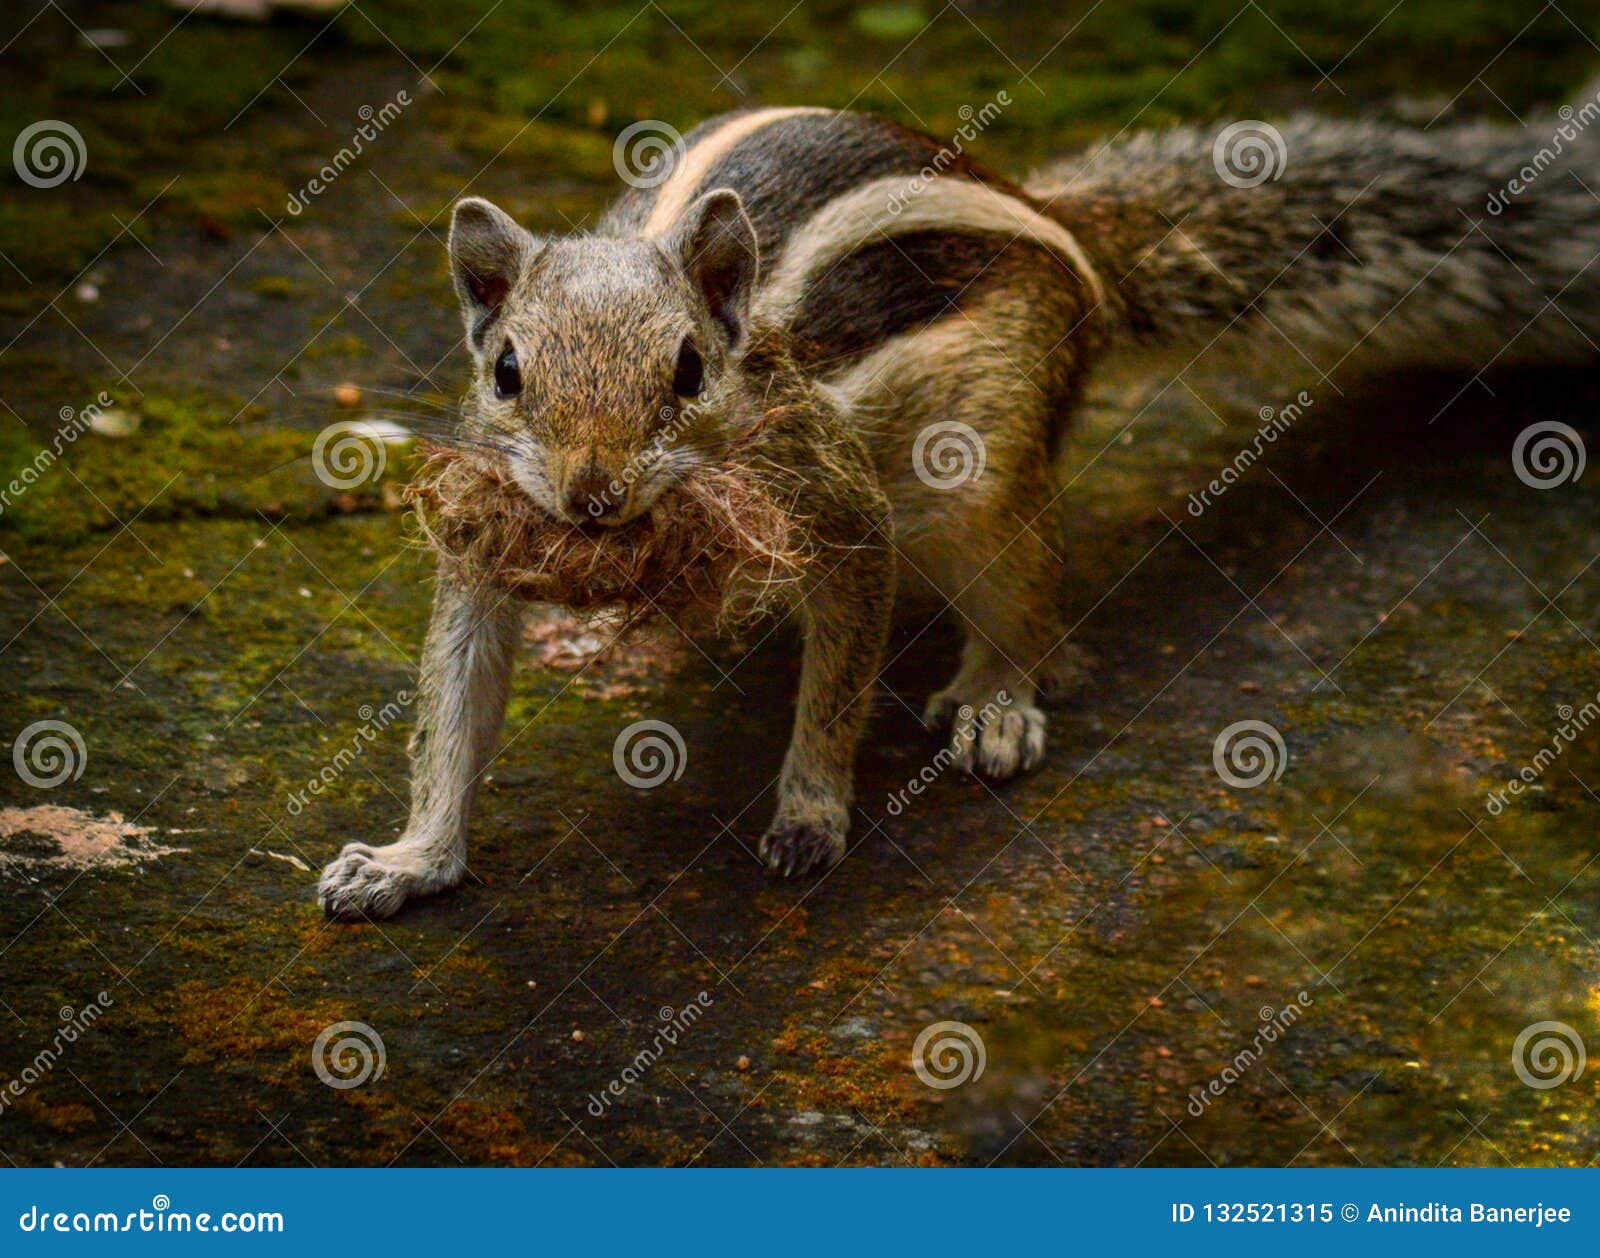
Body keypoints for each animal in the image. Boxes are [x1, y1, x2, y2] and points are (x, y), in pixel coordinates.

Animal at [320, 95, 1600, 919]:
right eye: (506, 372)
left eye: (687, 371)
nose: (592, 500)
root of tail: (1068, 232)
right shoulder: (480, 542)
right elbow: (454, 696)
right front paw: (410, 858)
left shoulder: (840, 506)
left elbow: (841, 673)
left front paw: (810, 811)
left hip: (989, 461)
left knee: (1024, 589)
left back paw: (997, 698)